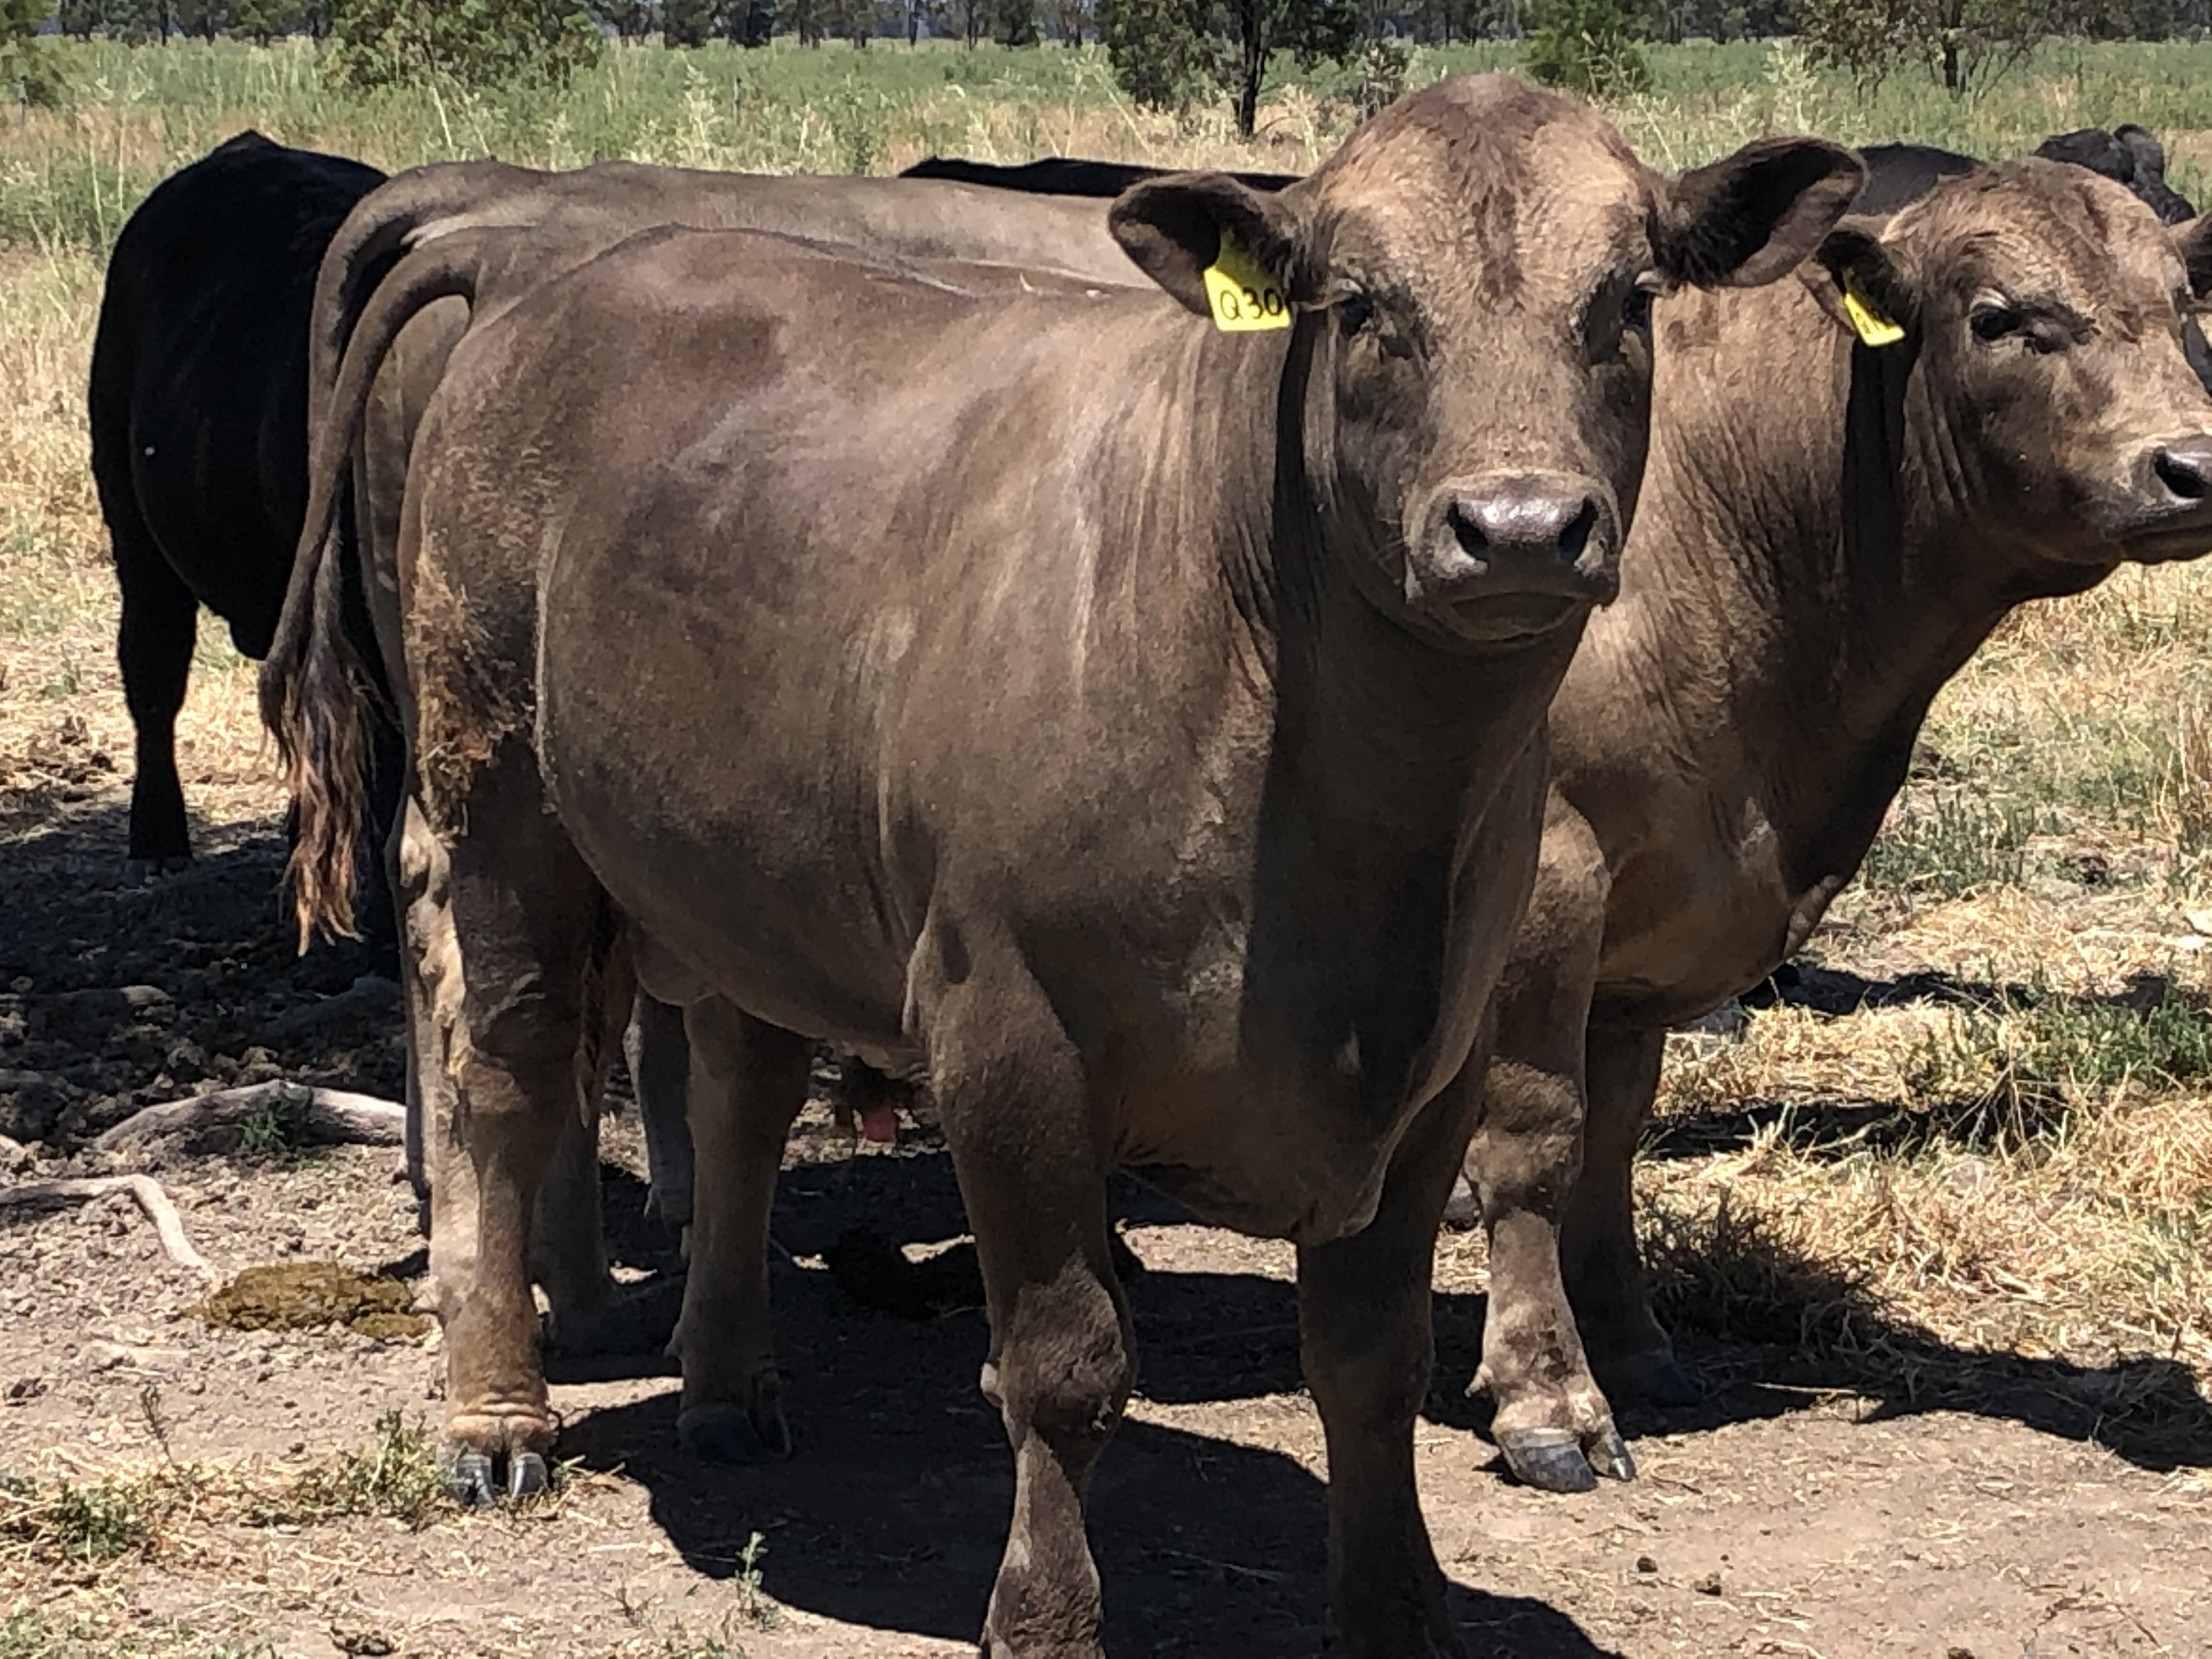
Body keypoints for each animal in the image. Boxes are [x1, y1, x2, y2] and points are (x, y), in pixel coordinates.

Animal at [268, 74, 1860, 1656]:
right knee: (506, 1072)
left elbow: (1374, 1363)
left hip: (743, 876)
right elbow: (1064, 1366)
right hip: (495, 794)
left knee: (736, 1098)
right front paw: (1044, 1617)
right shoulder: (1006, 1031)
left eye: (1629, 297)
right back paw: (496, 1412)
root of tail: (546, 273)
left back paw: (725, 1384)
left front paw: (1396, 1611)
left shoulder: (1435, 1061)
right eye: (1356, 304)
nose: (1519, 525)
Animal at [1448, 157, 2212, 1496]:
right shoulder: (1554, 869)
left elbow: (1615, 1136)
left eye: (2181, 307)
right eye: (1996, 317)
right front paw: (1548, 1395)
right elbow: (1540, 1137)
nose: (2190, 466)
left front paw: (1632, 1345)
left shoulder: (1655, 911)